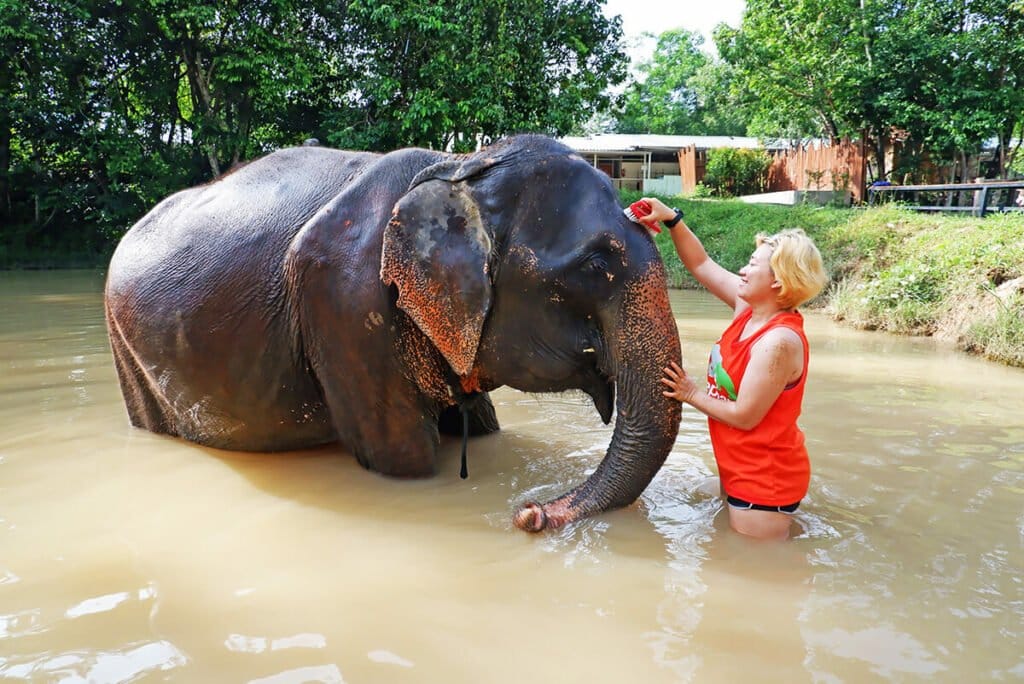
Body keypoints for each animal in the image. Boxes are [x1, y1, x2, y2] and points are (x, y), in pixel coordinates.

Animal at [103, 134, 682, 531]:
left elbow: (481, 427)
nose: (528, 512)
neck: (456, 168)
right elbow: (406, 460)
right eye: (595, 265)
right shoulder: (345, 306)